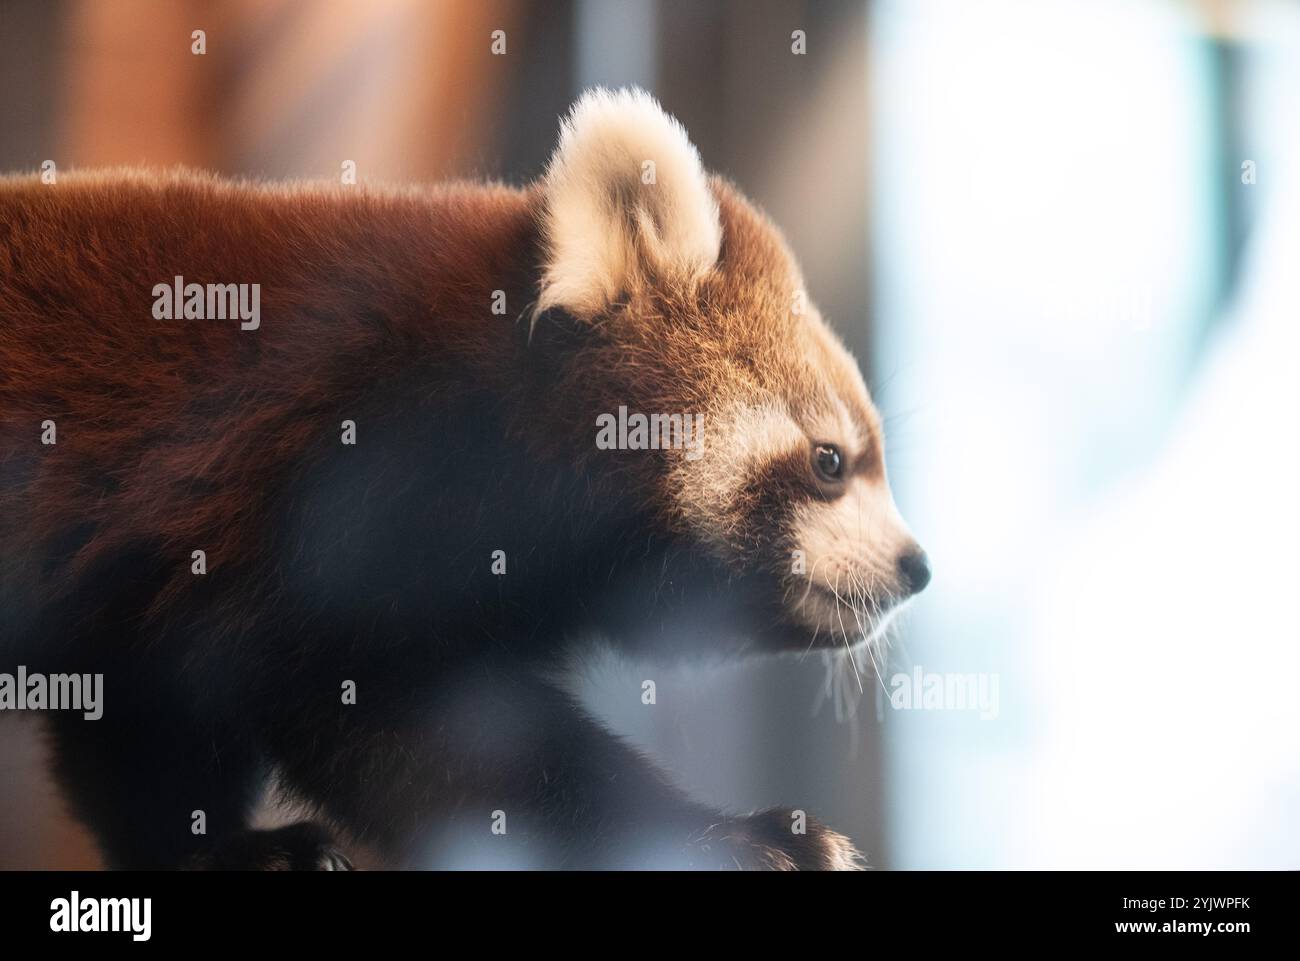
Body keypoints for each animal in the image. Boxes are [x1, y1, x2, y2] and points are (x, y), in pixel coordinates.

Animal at [0, 88, 929, 870]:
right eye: (830, 462)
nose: (916, 567)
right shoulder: (329, 491)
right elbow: (421, 736)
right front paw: (734, 835)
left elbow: (142, 733)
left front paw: (217, 849)